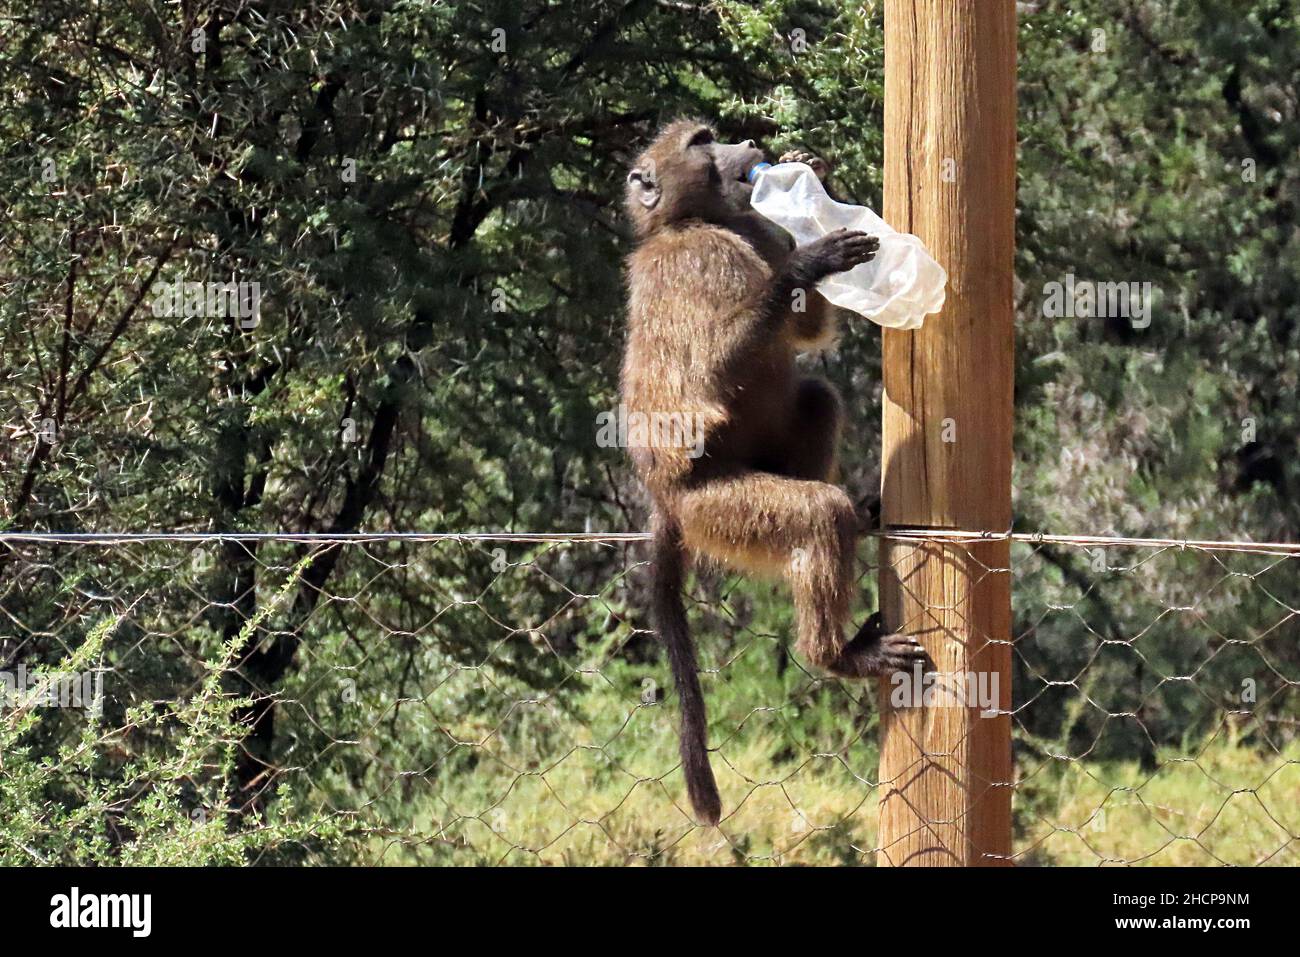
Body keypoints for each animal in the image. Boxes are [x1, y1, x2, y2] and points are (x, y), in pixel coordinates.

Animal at [619, 120, 926, 826]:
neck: (696, 219)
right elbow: (703, 377)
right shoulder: (696, 262)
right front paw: (807, 260)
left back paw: (861, 516)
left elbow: (805, 333)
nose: (749, 147)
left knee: (817, 398)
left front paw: (813, 174)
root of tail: (664, 501)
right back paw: (837, 654)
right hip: (717, 510)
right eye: (702, 142)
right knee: (815, 513)